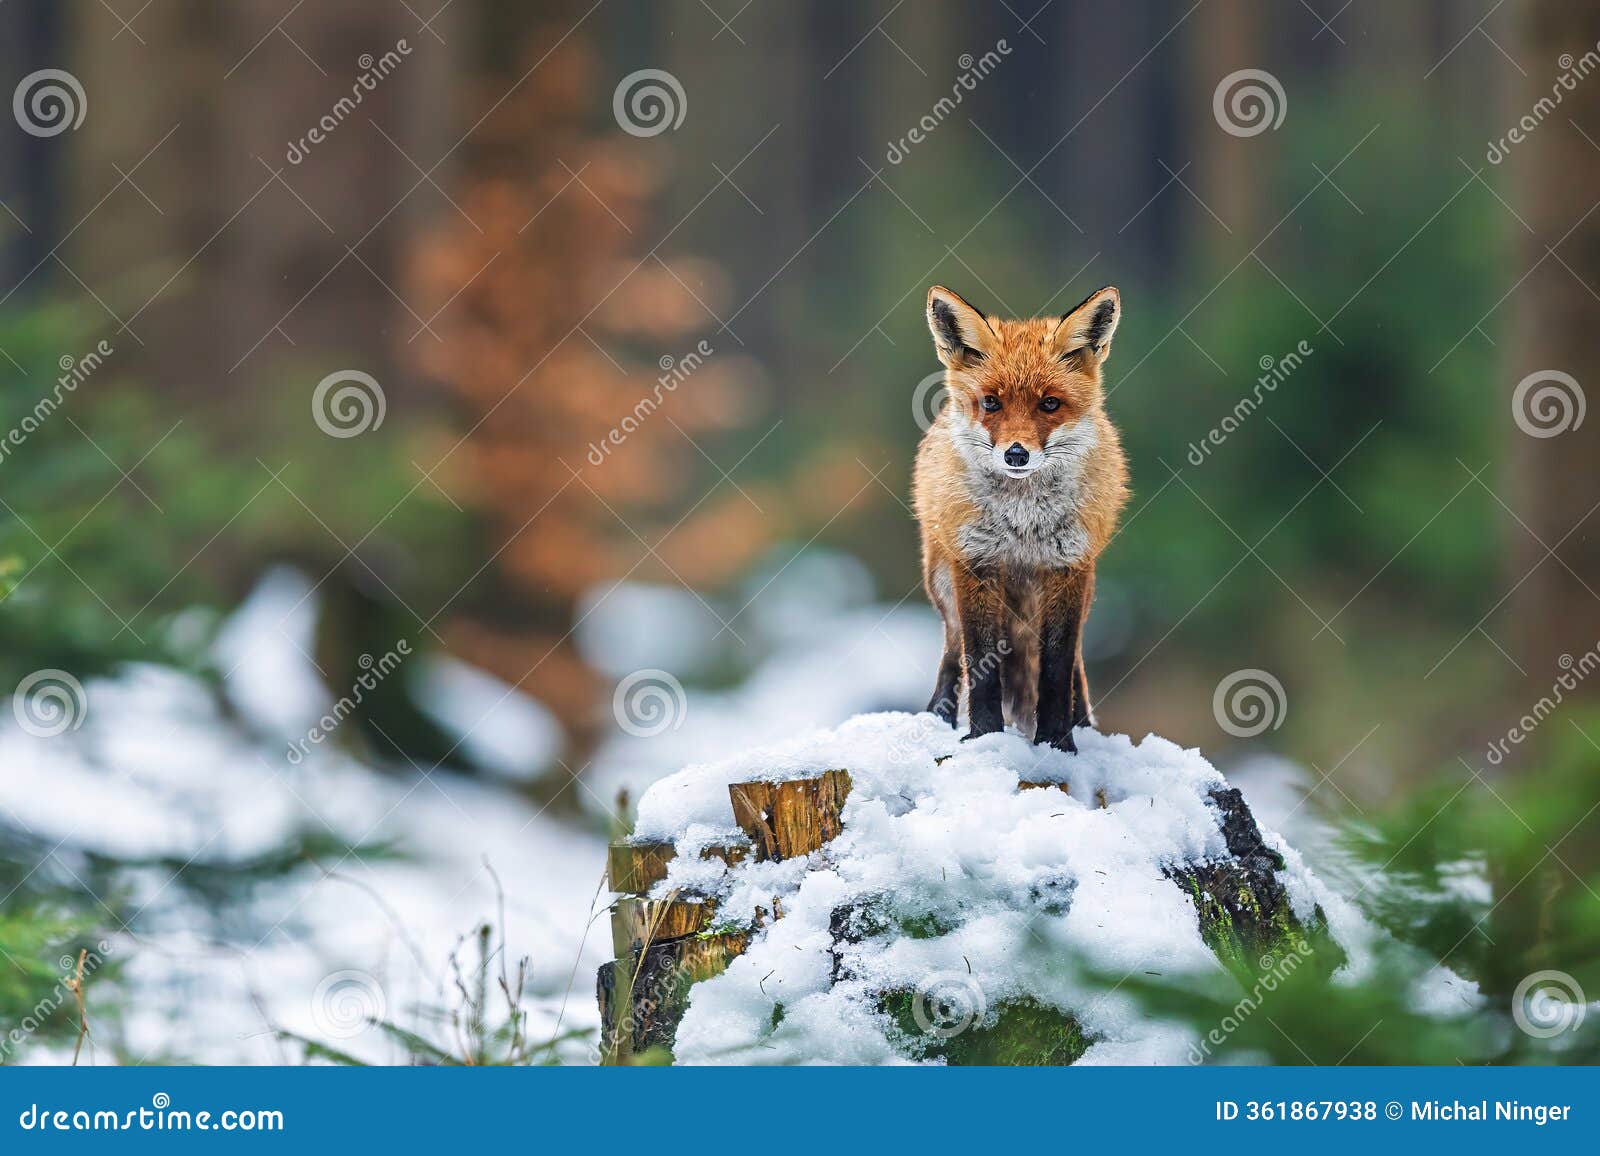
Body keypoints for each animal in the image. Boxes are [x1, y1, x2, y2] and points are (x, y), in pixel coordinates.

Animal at [912, 284, 1128, 753]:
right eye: (991, 403)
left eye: (1050, 404)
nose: (1016, 454)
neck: (1023, 522)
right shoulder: (976, 565)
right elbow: (981, 665)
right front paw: (983, 738)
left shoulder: (1068, 568)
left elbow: (1057, 669)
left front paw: (1059, 743)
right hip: (943, 585)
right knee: (951, 655)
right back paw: (937, 719)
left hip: (1082, 593)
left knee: (1076, 664)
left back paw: (1083, 724)